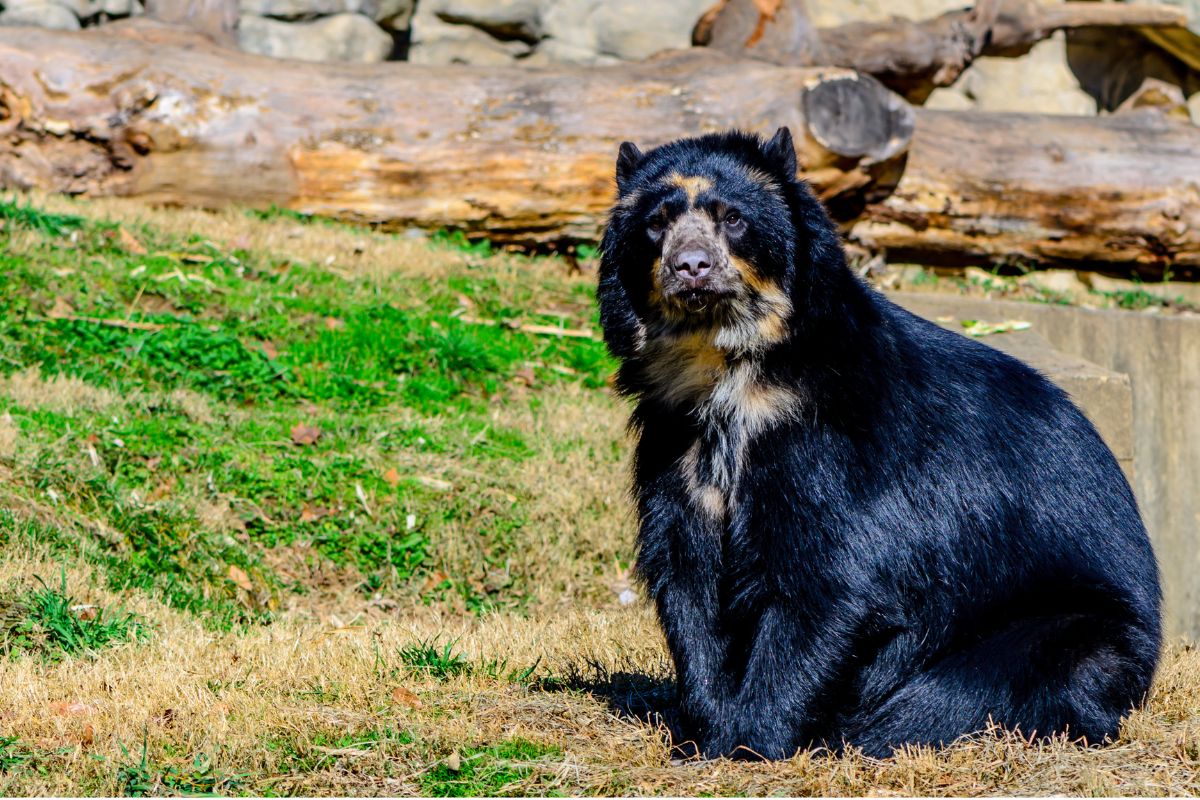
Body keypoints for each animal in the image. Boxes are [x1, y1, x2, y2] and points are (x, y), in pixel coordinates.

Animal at [596, 127, 1162, 760]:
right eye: (656, 223)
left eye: (733, 218)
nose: (691, 267)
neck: (729, 374)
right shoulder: (677, 445)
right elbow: (689, 580)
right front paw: (706, 731)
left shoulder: (832, 448)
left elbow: (828, 577)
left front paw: (751, 740)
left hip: (1072, 629)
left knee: (964, 691)